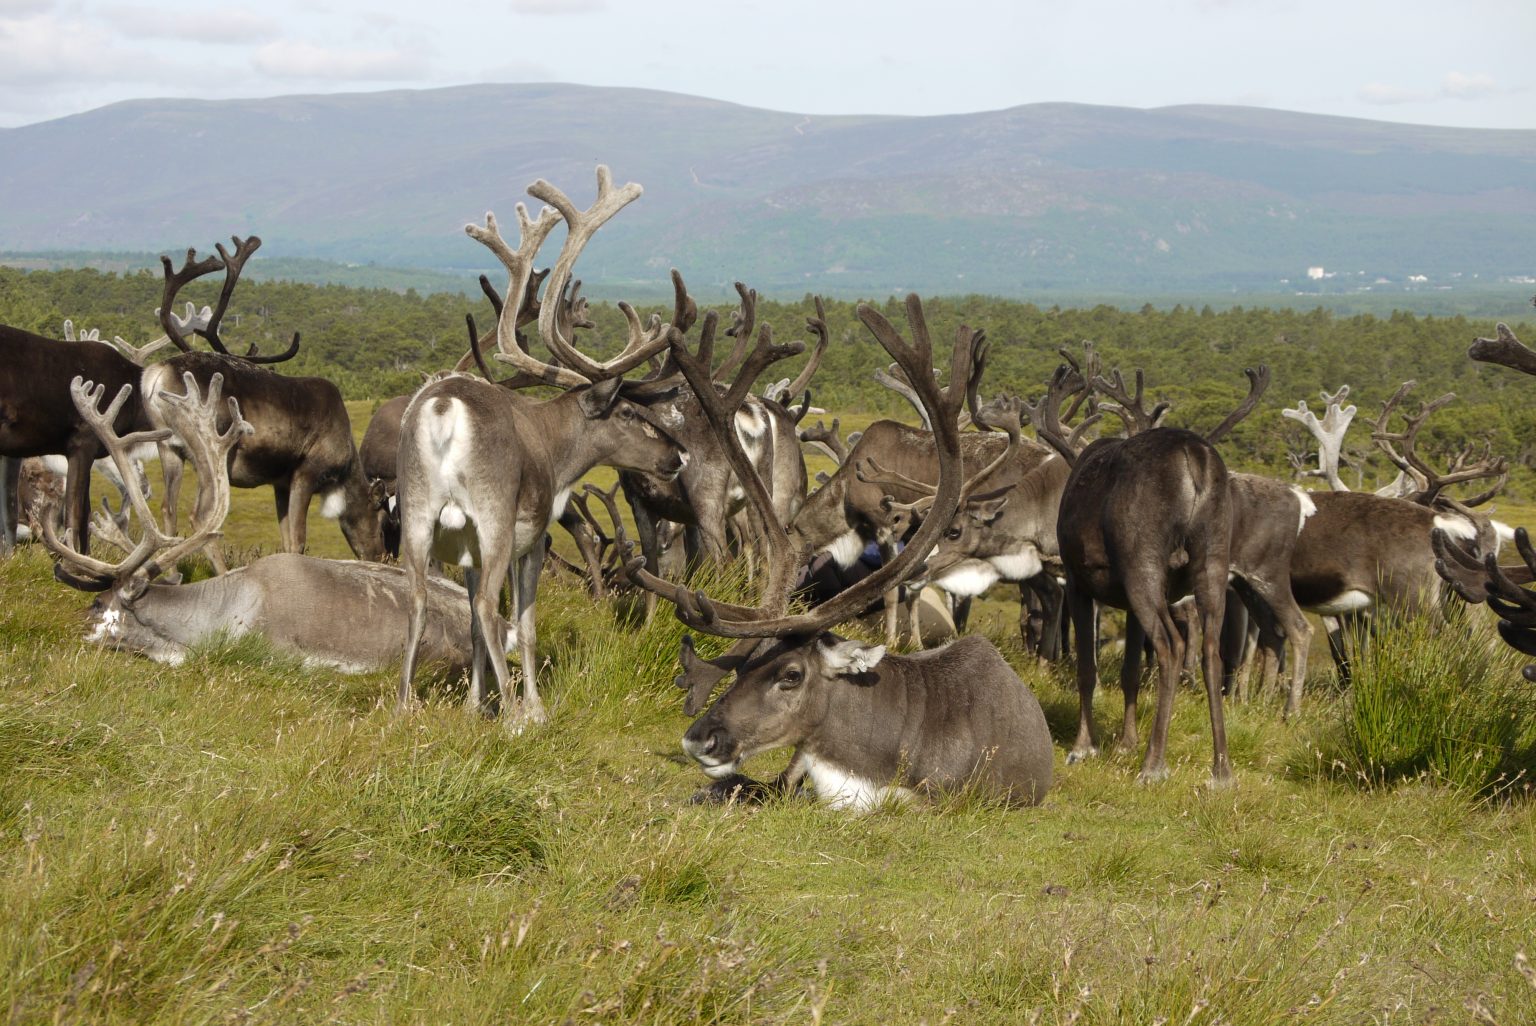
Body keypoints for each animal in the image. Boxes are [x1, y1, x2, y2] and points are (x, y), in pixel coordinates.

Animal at [144, 236, 386, 565]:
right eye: (381, 515)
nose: (381, 556)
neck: (346, 463)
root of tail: (157, 375)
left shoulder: (280, 482)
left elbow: (286, 539)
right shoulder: (306, 471)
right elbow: (298, 540)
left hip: (169, 447)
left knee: (168, 509)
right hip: (210, 450)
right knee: (201, 517)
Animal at [396, 166, 689, 729]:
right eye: (627, 413)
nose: (677, 455)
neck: (558, 455)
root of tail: (443, 407)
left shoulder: (465, 548)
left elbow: (471, 627)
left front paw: (474, 707)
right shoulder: (532, 536)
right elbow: (524, 625)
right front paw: (530, 707)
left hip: (417, 510)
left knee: (418, 597)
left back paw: (403, 707)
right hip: (492, 511)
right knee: (490, 607)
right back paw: (514, 716)